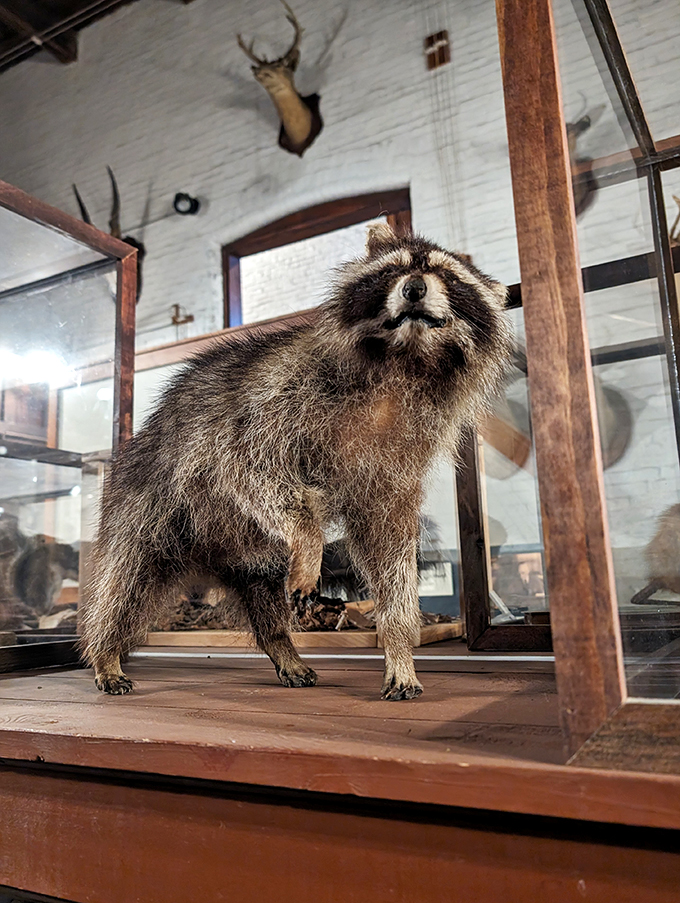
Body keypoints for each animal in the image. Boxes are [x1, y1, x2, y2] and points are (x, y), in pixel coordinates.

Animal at [81, 222, 511, 699]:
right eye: (394, 269)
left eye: (448, 276)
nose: (414, 288)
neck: (403, 359)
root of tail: (207, 557)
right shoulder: (273, 401)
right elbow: (247, 469)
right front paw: (309, 539)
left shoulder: (399, 462)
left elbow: (391, 547)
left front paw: (399, 644)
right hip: (145, 502)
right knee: (124, 581)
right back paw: (105, 650)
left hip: (248, 554)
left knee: (263, 596)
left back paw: (281, 645)